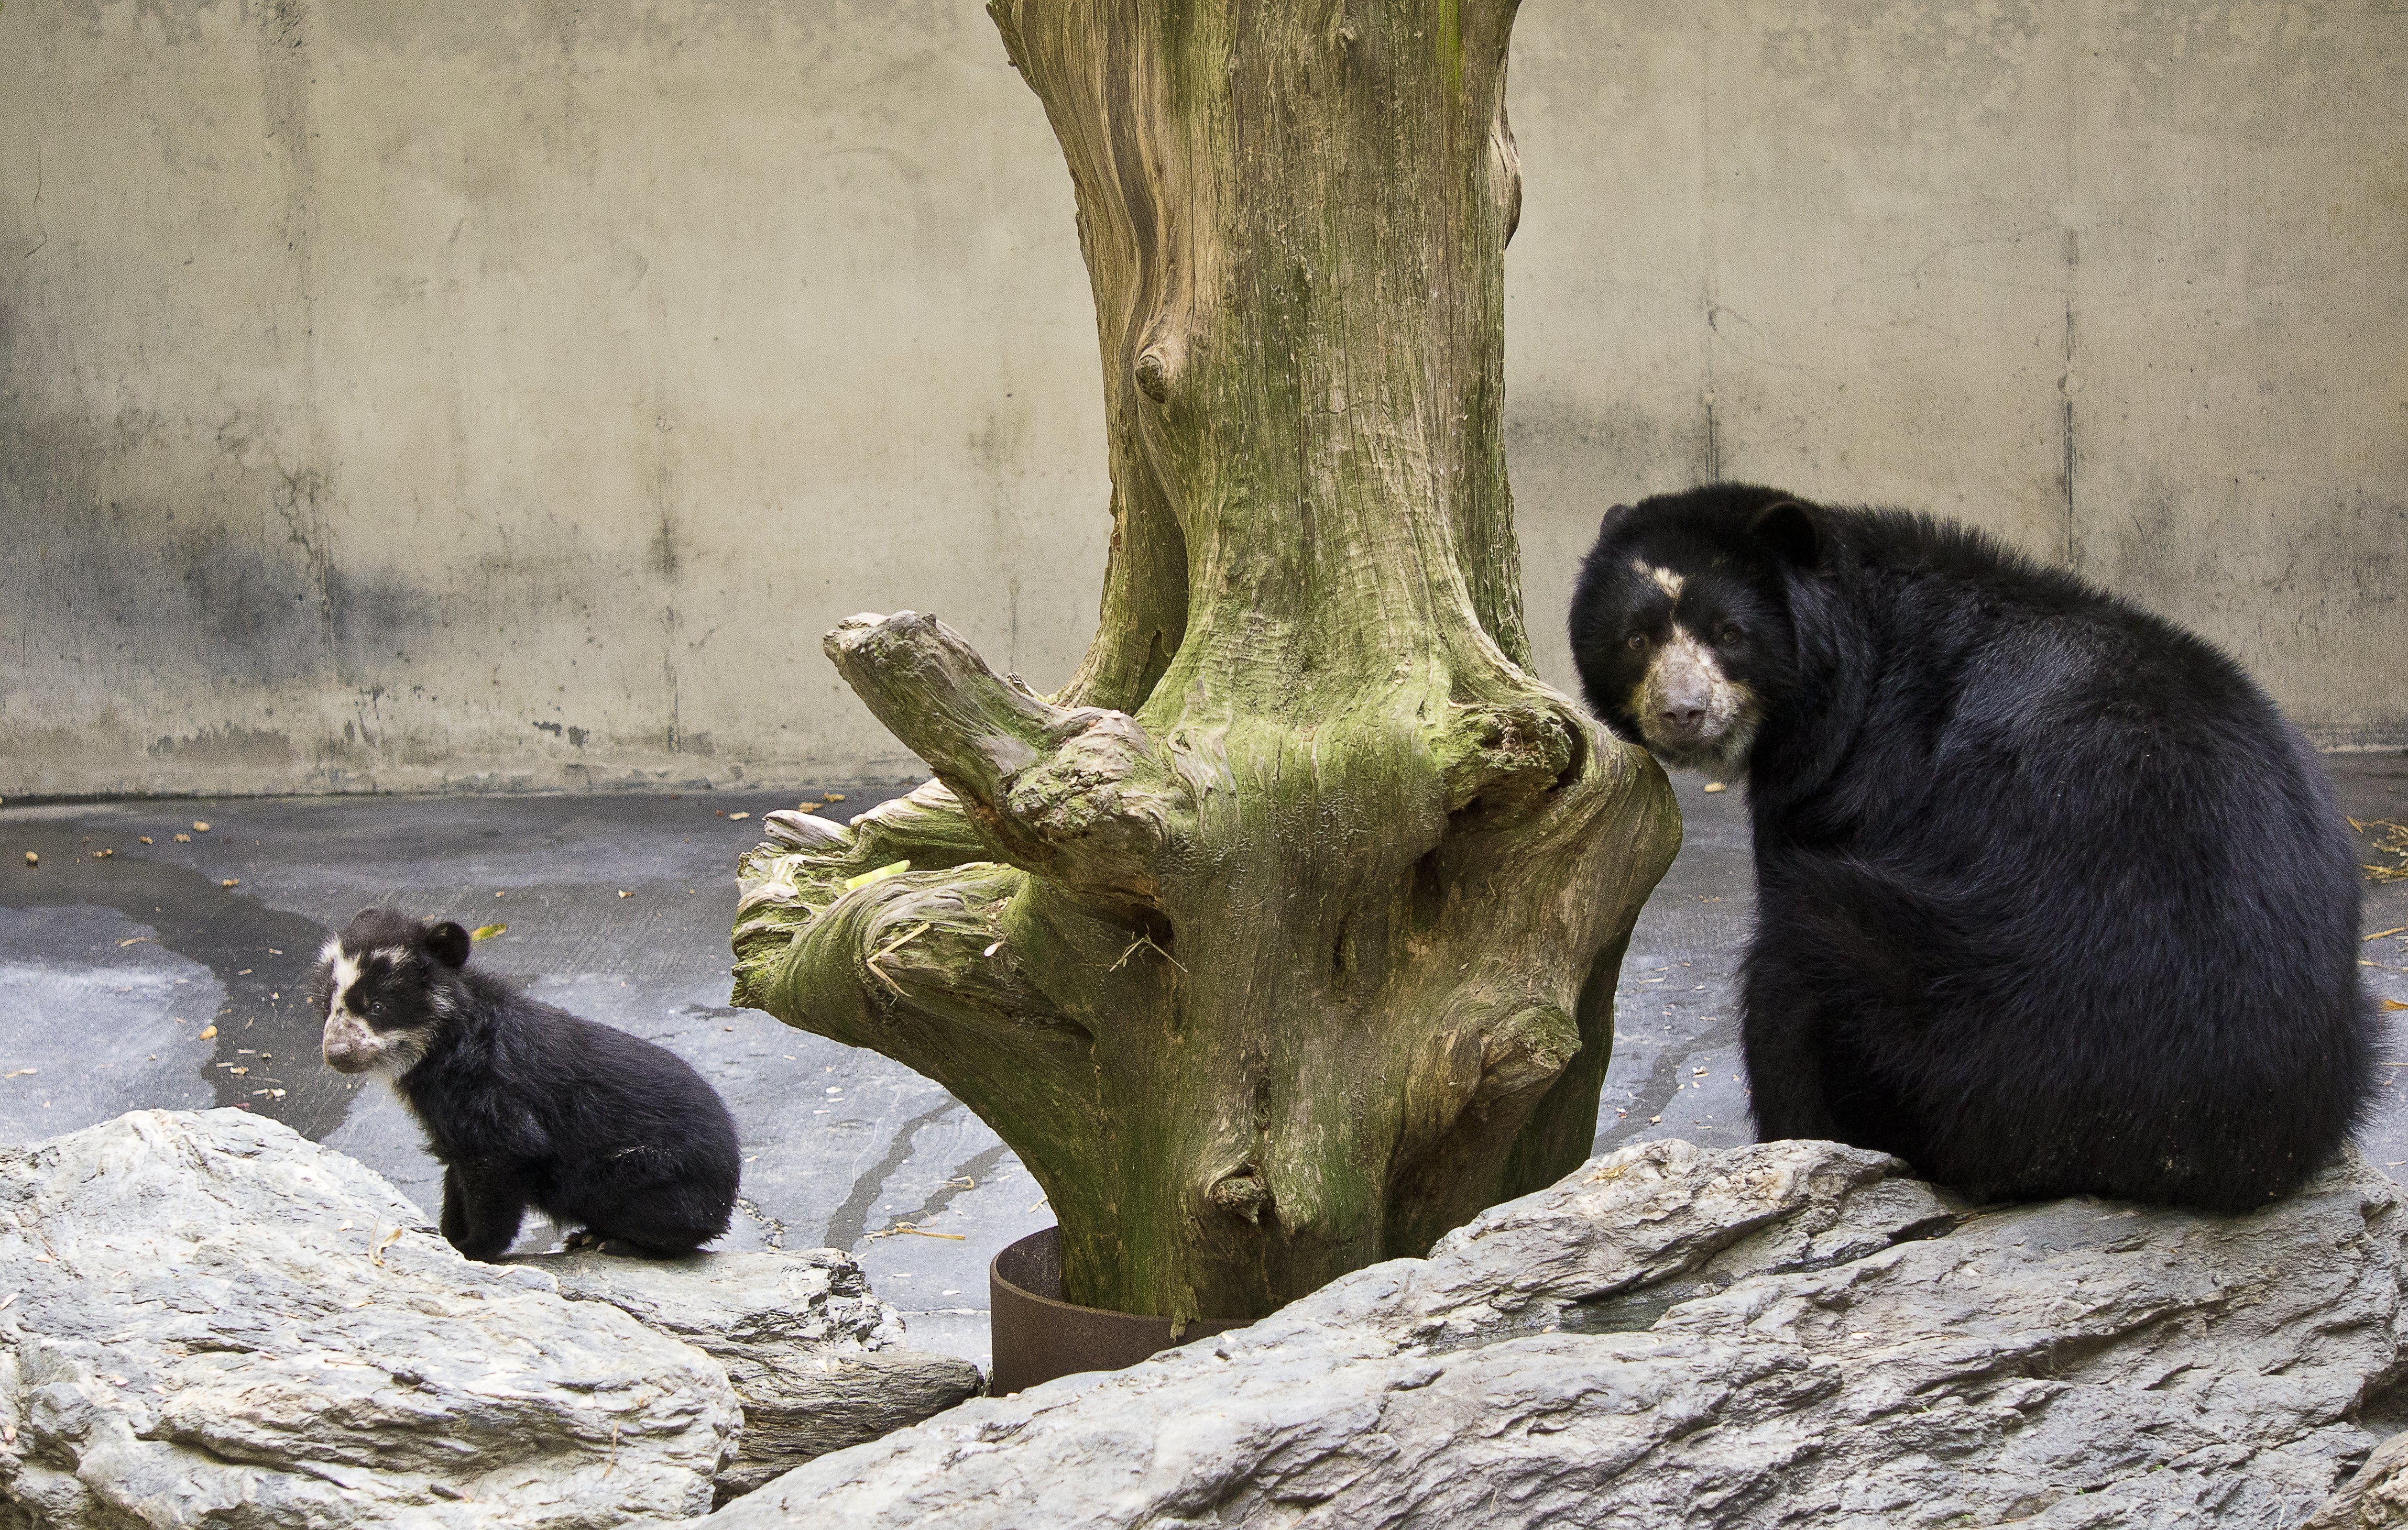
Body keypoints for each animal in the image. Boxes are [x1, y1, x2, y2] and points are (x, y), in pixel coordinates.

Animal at [316, 908, 742, 1258]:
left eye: (377, 1006)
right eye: (329, 1005)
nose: (336, 1053)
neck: (441, 1048)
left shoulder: (490, 1099)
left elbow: (504, 1162)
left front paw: (473, 1248)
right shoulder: (453, 1126)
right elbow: (457, 1177)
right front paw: (448, 1237)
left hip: (647, 1175)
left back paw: (612, 1241)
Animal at [1568, 483, 2373, 1212]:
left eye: (1730, 633)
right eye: (1638, 638)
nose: (1682, 712)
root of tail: (2221, 1150)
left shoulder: (1863, 771)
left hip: (1981, 1034)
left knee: (1800, 958)